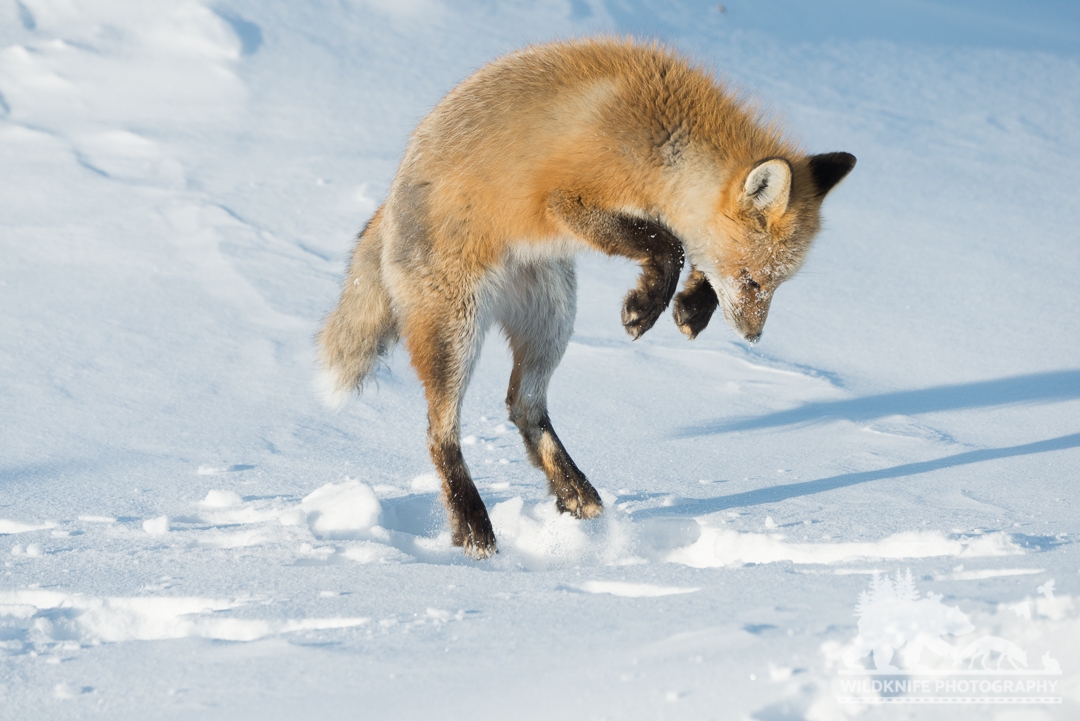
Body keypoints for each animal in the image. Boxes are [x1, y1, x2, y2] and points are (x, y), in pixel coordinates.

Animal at [317, 38, 855, 559]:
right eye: (752, 282)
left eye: (775, 285)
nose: (754, 337)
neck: (660, 141)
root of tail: (390, 202)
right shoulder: (569, 201)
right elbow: (670, 244)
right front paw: (647, 305)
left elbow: (689, 245)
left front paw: (691, 306)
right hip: (458, 329)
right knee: (440, 433)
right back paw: (472, 524)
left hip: (553, 319)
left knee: (522, 406)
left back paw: (574, 491)